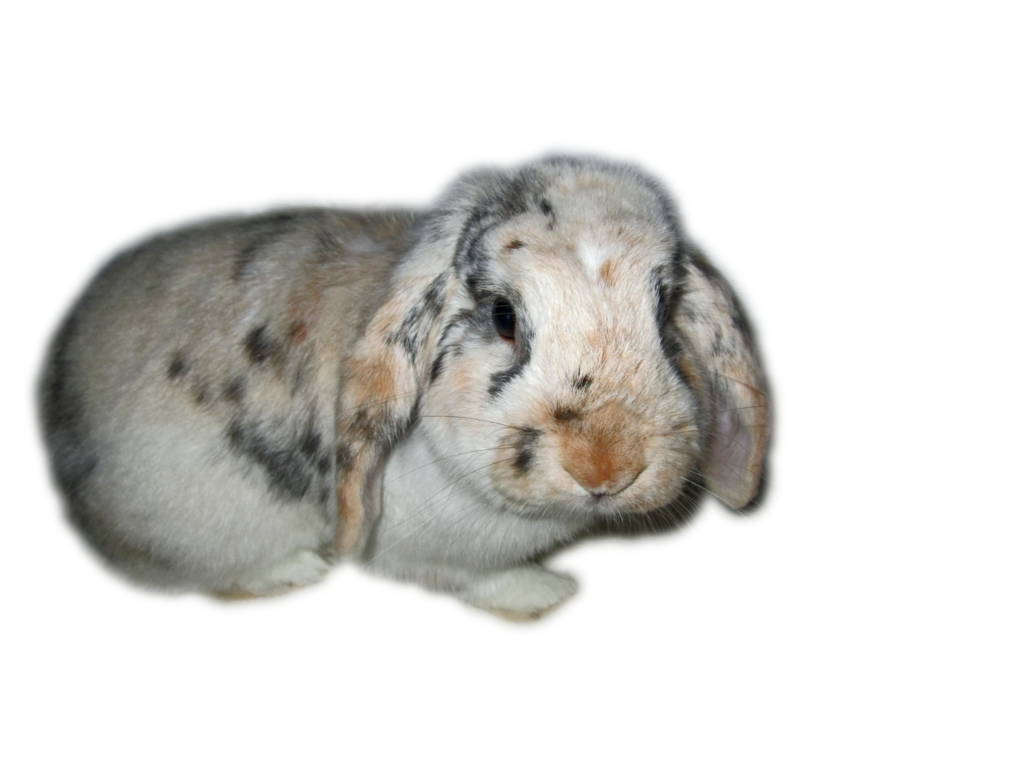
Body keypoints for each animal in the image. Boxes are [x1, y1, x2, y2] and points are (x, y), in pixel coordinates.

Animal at [37, 158, 771, 621]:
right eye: (503, 316)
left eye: (665, 312)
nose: (605, 467)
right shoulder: (439, 552)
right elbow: (484, 577)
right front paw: (548, 592)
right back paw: (297, 570)